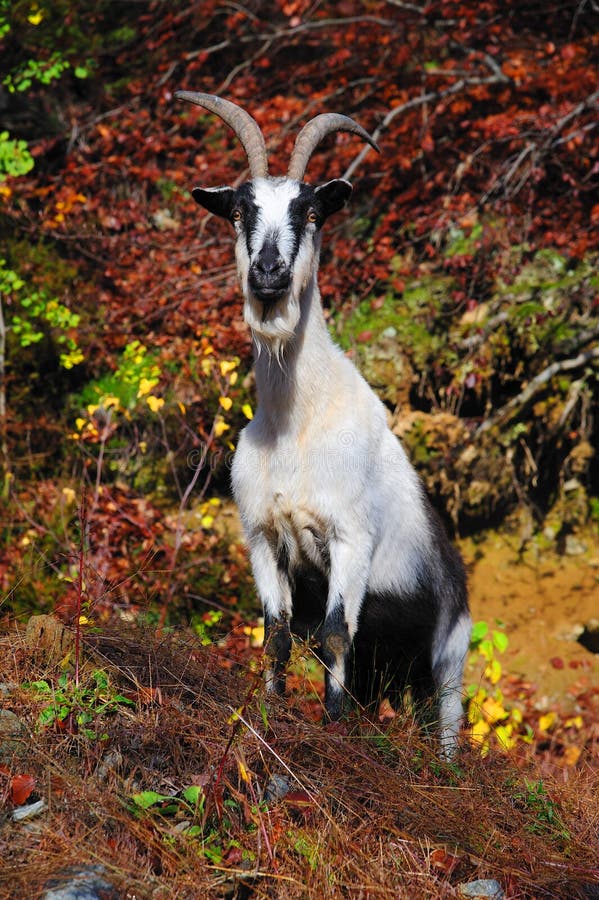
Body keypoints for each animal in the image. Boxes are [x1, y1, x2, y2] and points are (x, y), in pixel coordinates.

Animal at [176, 91, 471, 755]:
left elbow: (338, 632)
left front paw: (331, 728)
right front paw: (270, 711)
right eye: (239, 211)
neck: (296, 423)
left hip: (450, 662)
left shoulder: (350, 539)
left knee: (443, 721)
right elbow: (277, 633)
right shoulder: (263, 536)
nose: (268, 273)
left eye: (310, 212)